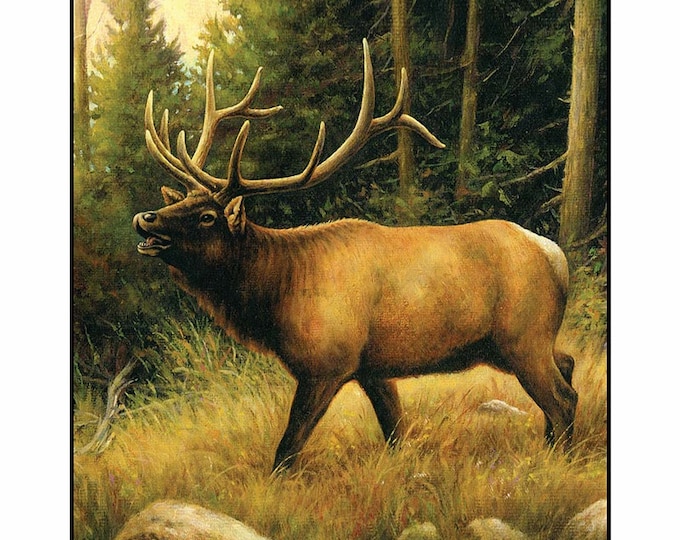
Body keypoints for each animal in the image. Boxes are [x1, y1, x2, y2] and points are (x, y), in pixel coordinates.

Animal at [133, 39, 577, 472]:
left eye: (207, 216)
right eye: (179, 202)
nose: (145, 217)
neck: (278, 295)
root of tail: (556, 256)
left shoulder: (328, 363)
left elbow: (287, 450)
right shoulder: (373, 369)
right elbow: (395, 431)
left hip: (523, 337)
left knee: (562, 399)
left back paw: (558, 461)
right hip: (521, 342)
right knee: (569, 367)